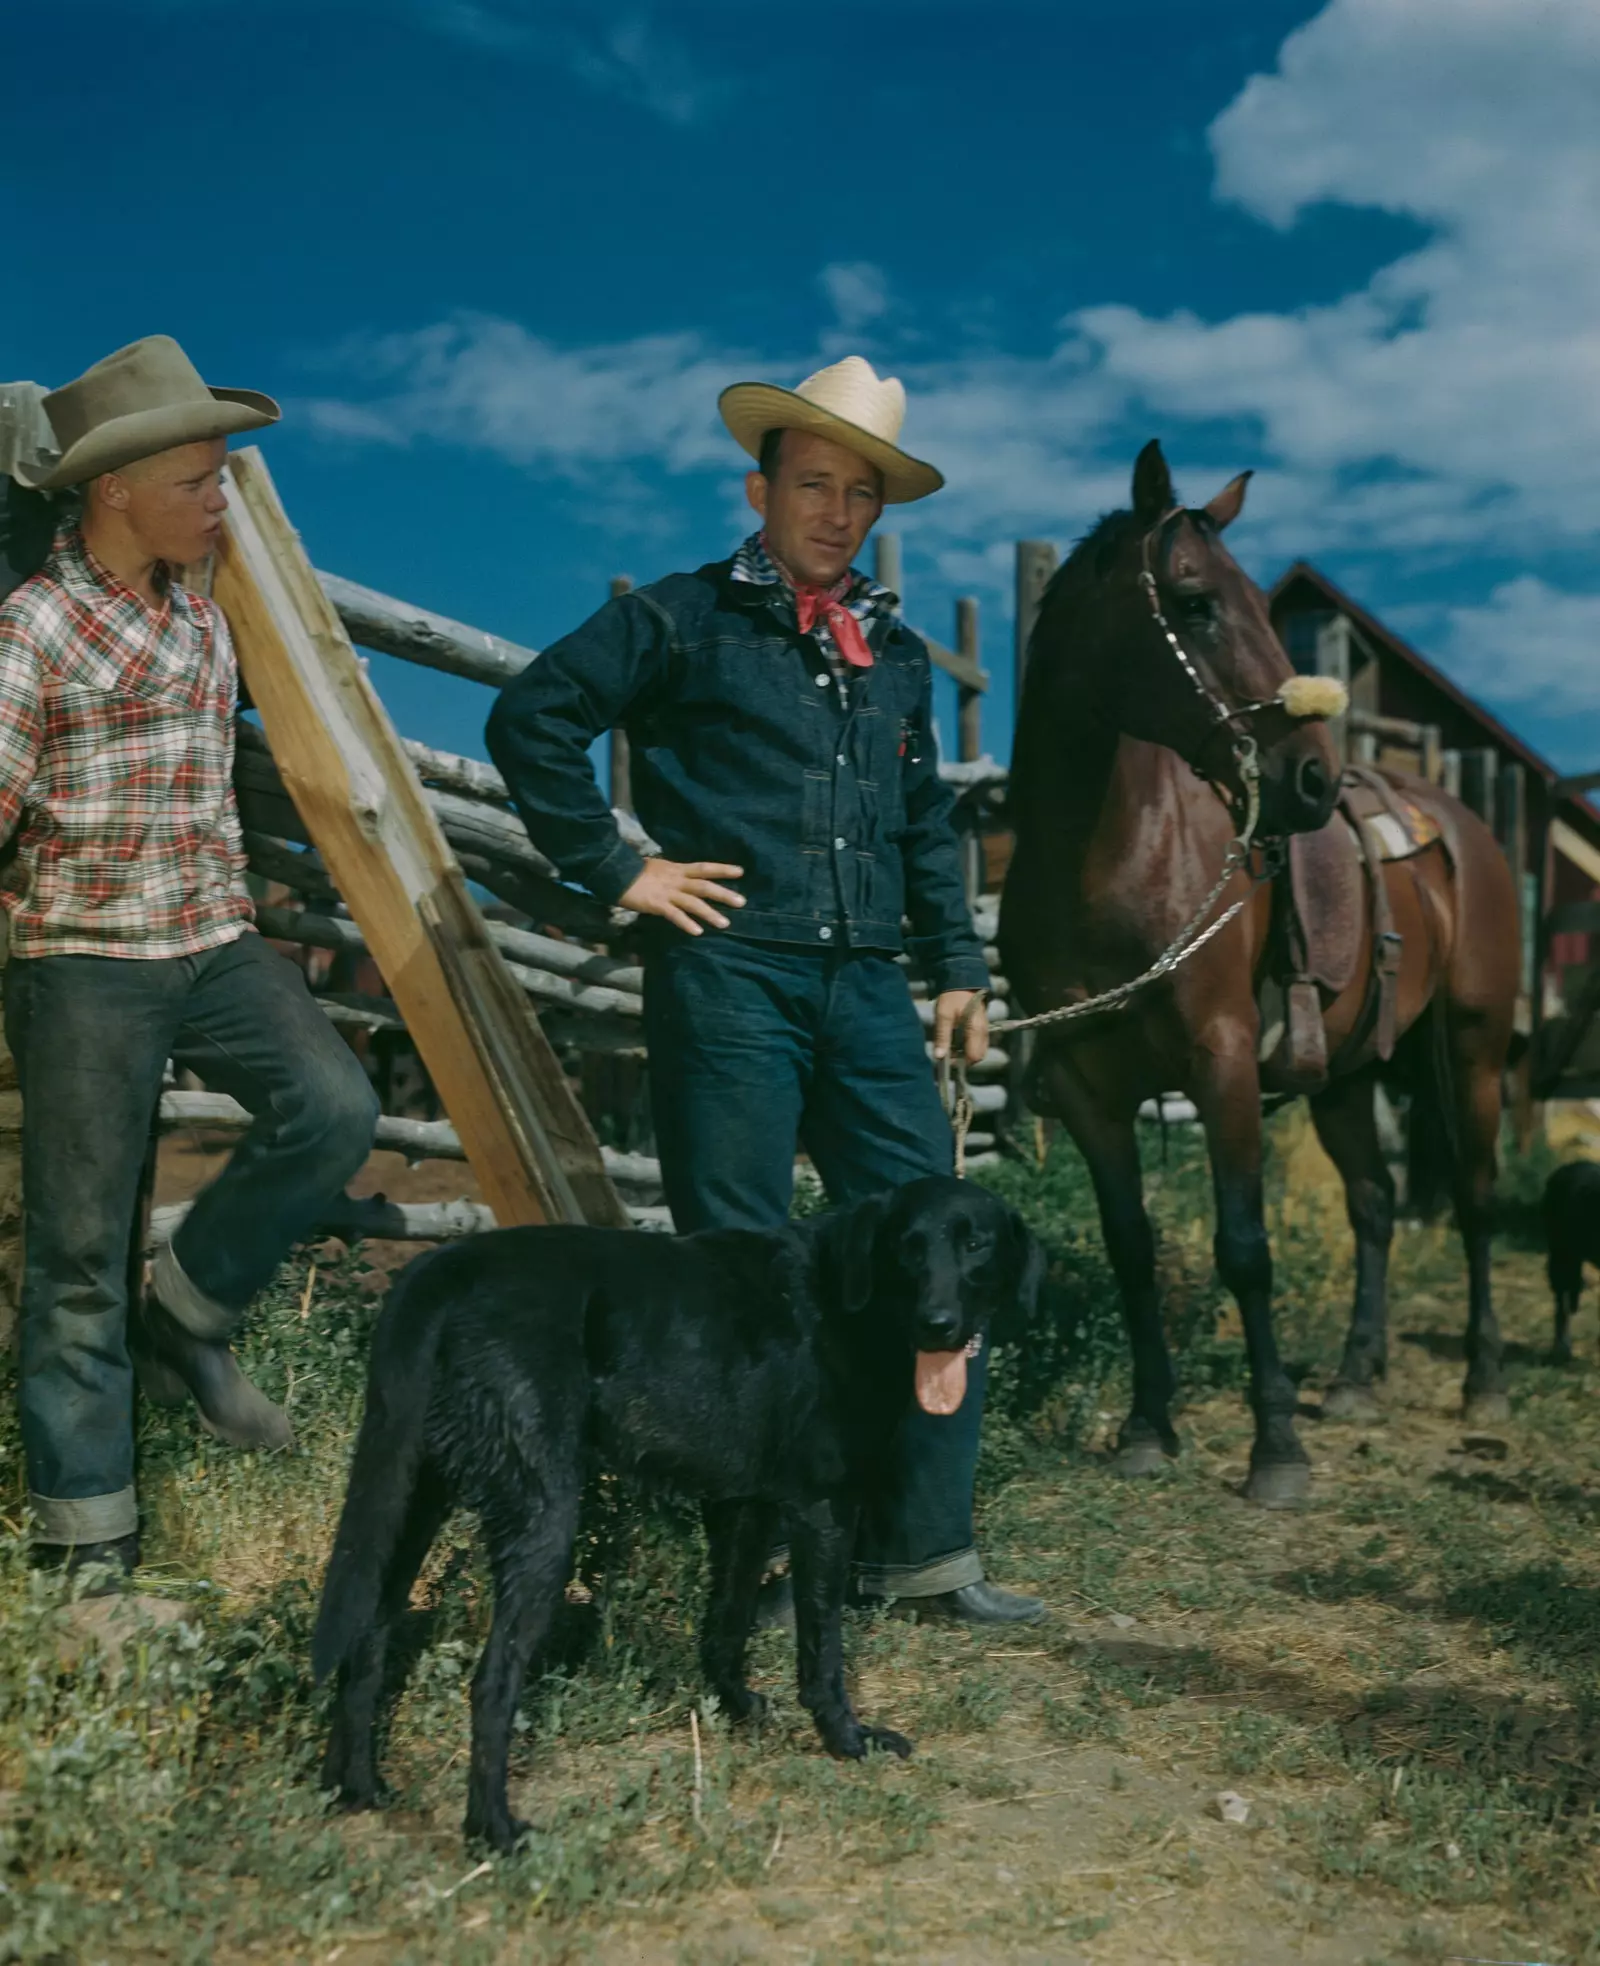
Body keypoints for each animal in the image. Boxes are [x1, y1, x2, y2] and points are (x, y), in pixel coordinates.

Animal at [312, 1171, 1045, 1848]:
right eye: (907, 1247)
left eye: (974, 1243)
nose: (937, 1326)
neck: (850, 1295)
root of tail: (443, 1268)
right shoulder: (824, 1509)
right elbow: (822, 1650)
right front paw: (847, 1740)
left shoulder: (744, 1506)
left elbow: (726, 1623)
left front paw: (737, 1708)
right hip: (543, 1520)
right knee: (491, 1680)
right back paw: (494, 1829)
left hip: (412, 1500)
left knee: (366, 1636)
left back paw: (358, 1787)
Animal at [1006, 438, 1525, 1494]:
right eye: (1196, 602)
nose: (1312, 780)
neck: (1106, 858)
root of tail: (1459, 821)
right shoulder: (1087, 1090)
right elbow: (1132, 1249)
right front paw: (1147, 1429)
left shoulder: (1224, 1063)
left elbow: (1245, 1247)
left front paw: (1276, 1448)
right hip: (1348, 1075)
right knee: (1373, 1205)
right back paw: (1357, 1376)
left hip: (1475, 1053)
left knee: (1475, 1200)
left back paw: (1483, 1381)